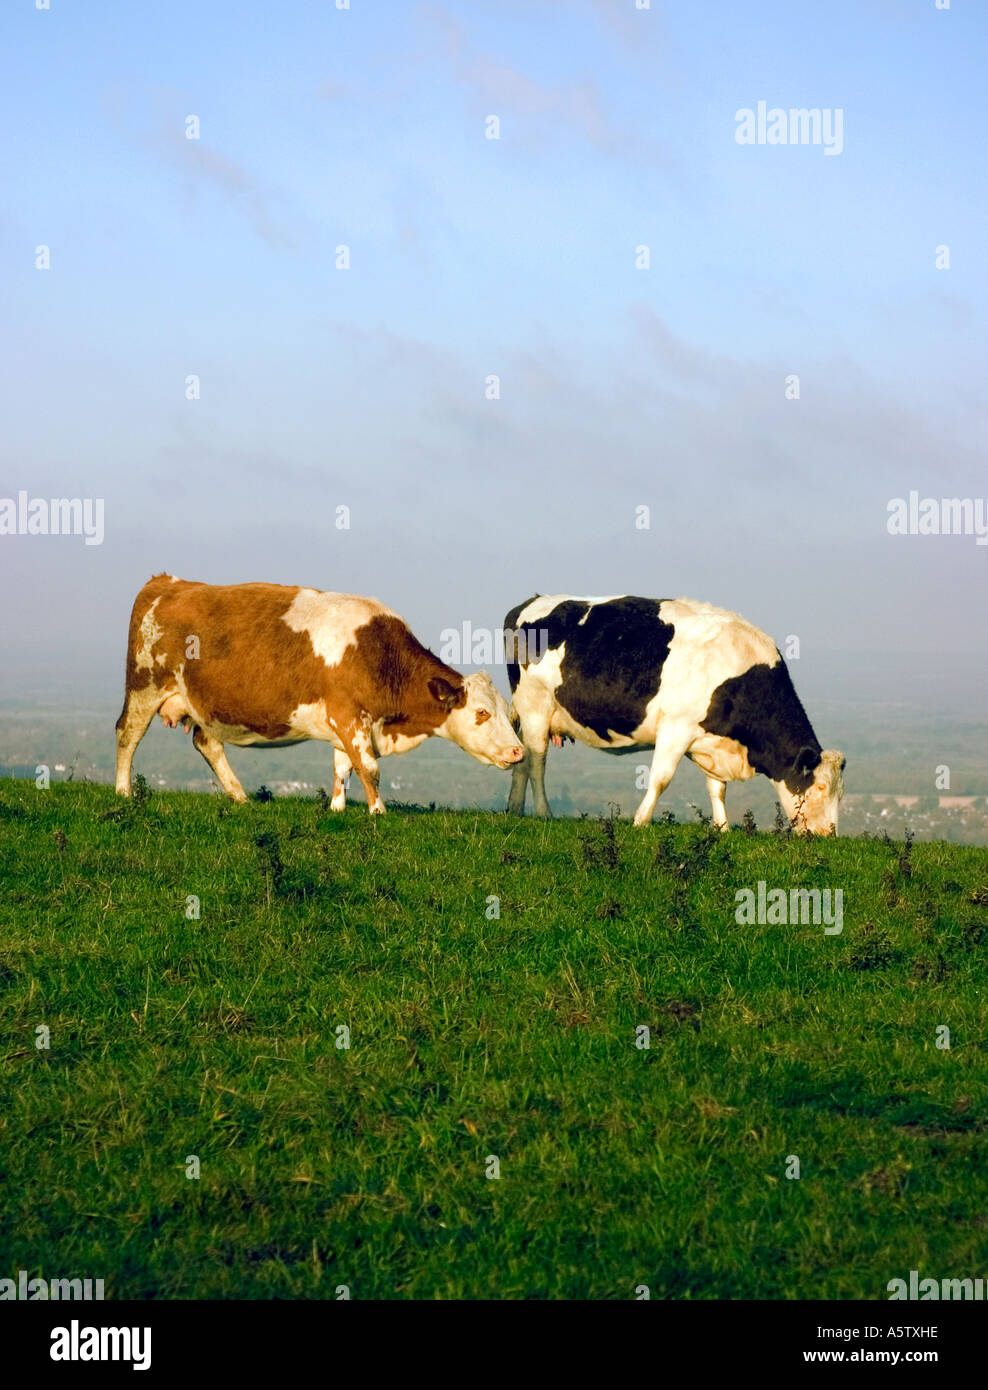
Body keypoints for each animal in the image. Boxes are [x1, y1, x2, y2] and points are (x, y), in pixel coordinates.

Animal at [115, 575, 524, 814]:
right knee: (127, 735)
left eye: (509, 714)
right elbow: (369, 768)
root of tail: (167, 582)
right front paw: (379, 812)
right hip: (145, 686)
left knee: (207, 743)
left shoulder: (347, 723)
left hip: (204, 705)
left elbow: (342, 766)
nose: (518, 751)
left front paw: (337, 808)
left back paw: (240, 796)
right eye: (482, 712)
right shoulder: (350, 716)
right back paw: (123, 791)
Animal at [503, 594, 845, 835]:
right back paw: (543, 812)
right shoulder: (676, 727)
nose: (827, 836)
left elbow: (717, 788)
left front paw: (722, 828)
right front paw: (641, 821)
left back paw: (514, 809)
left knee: (522, 760)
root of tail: (529, 602)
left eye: (840, 794)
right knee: (537, 761)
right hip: (535, 706)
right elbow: (660, 778)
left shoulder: (710, 739)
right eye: (820, 788)